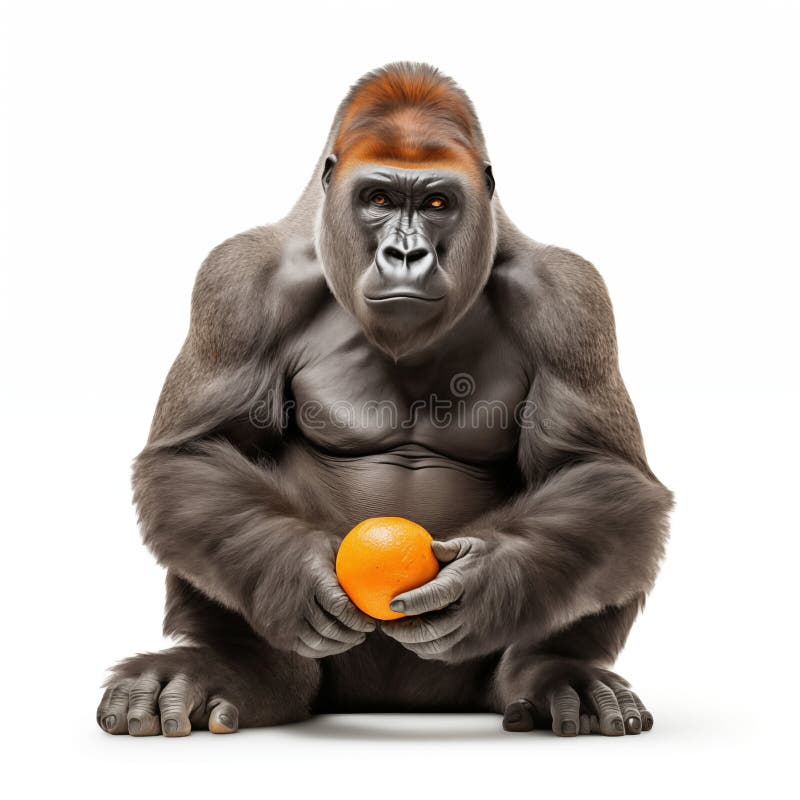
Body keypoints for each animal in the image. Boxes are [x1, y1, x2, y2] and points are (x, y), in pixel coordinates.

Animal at [97, 62, 672, 738]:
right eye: (377, 200)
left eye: (437, 203)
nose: (405, 253)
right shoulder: (238, 281)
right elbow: (198, 450)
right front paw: (295, 572)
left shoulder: (570, 295)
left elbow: (597, 470)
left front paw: (486, 585)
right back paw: (233, 669)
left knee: (614, 521)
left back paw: (552, 673)